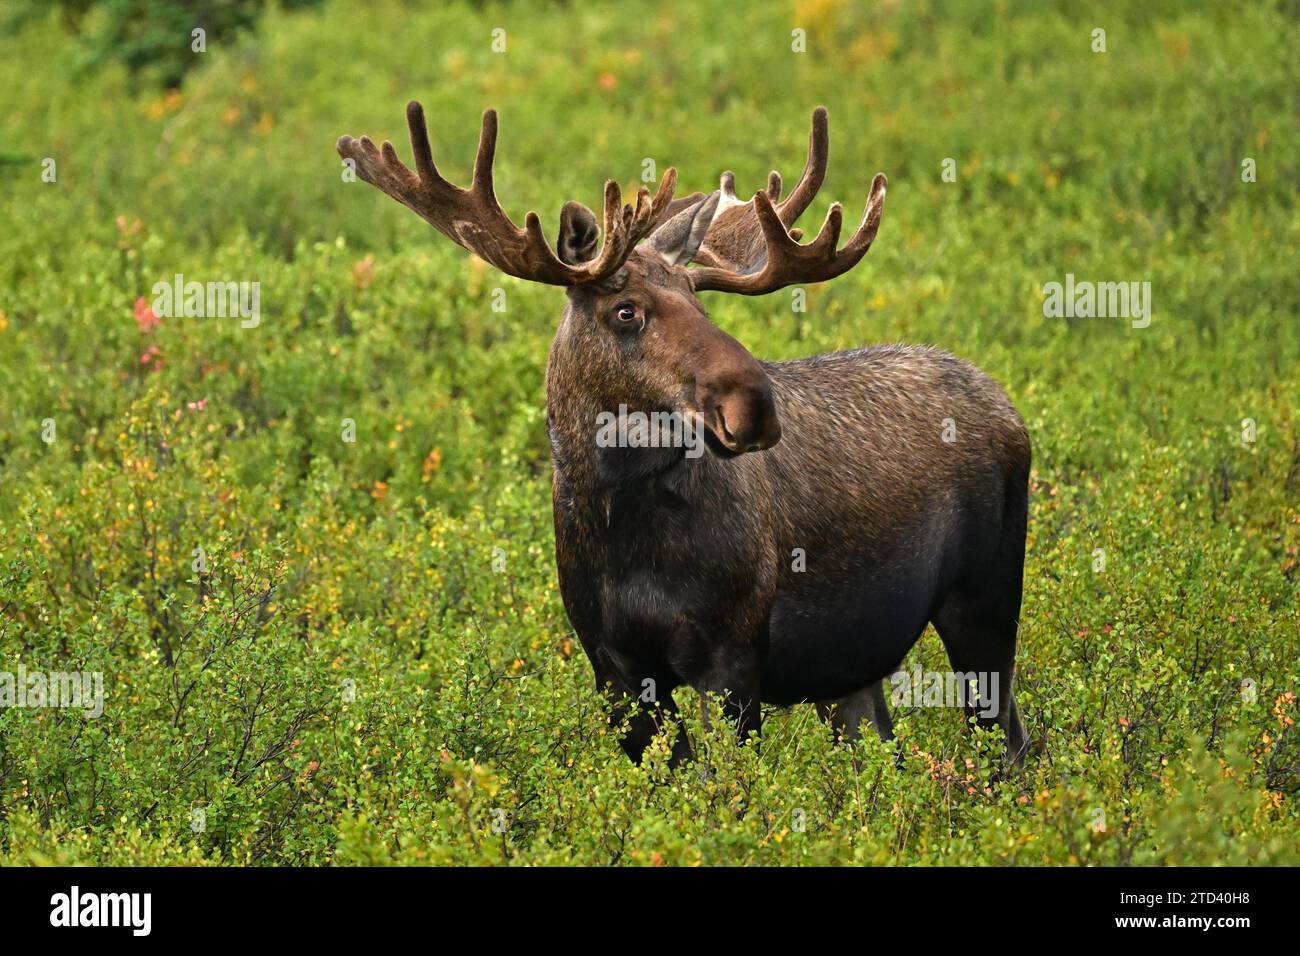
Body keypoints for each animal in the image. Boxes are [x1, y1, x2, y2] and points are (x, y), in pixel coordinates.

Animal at [336, 102, 1031, 768]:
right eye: (625, 311)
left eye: (702, 304)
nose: (755, 406)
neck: (622, 528)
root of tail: (1007, 406)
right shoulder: (612, 668)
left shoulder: (732, 654)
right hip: (855, 665)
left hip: (985, 598)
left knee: (1012, 744)